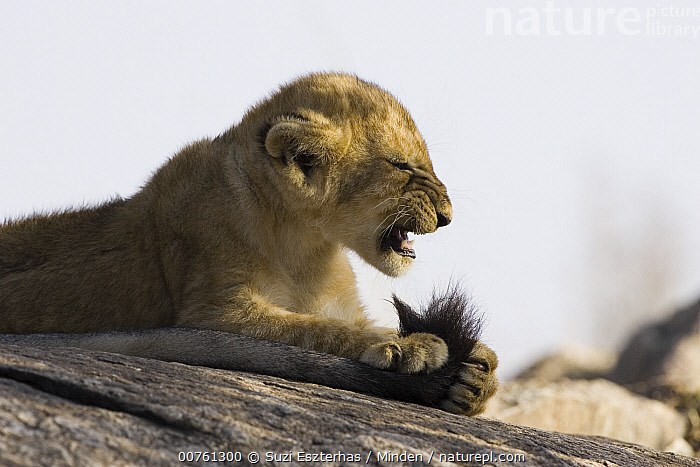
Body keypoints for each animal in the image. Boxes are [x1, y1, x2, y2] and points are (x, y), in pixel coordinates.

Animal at [0, 73, 497, 415]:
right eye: (401, 165)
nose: (448, 217)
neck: (305, 243)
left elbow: (334, 323)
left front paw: (477, 373)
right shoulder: (215, 311)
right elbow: (311, 330)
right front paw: (410, 347)